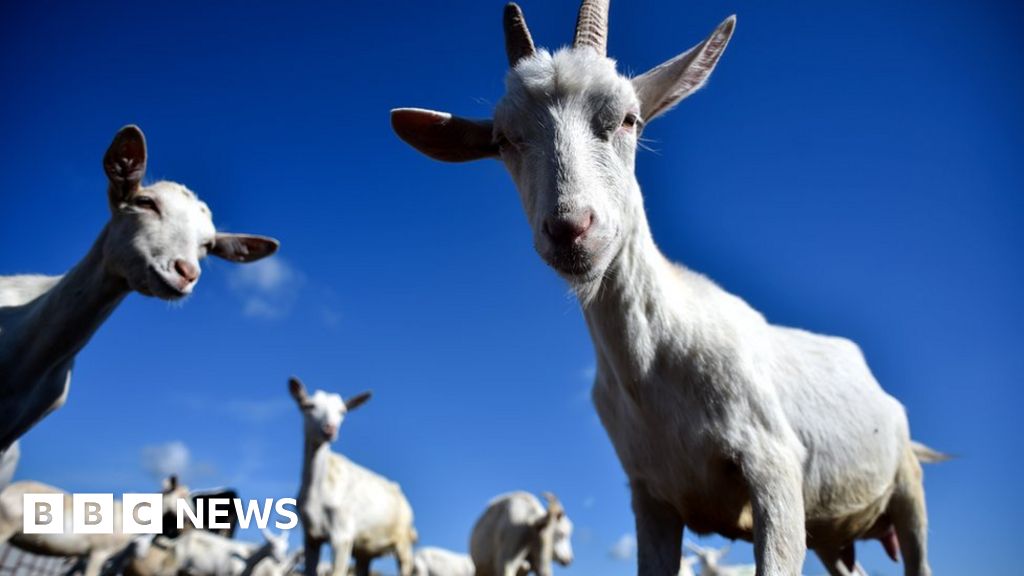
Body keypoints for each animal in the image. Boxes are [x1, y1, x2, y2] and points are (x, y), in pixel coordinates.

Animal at [288, 377, 418, 576]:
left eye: (342, 411)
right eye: (309, 406)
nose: (330, 429)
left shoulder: (342, 533)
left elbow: (337, 572)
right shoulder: (310, 536)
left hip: (403, 541)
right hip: (366, 549)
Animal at [391, 2, 948, 575]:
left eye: (629, 119)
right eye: (503, 140)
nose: (571, 228)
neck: (659, 355)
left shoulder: (774, 466)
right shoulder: (651, 496)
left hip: (907, 488)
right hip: (832, 533)